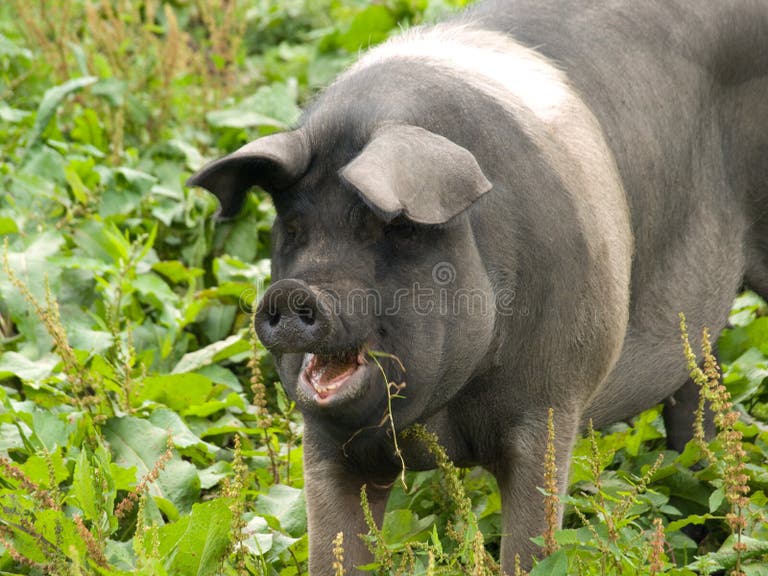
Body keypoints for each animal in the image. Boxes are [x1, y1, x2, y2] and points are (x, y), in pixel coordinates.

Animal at [188, 0, 768, 572]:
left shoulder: (552, 401)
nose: (293, 293)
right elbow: (334, 544)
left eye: (396, 227)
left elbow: (532, 541)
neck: (441, 419)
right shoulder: (327, 445)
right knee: (699, 386)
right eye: (292, 229)